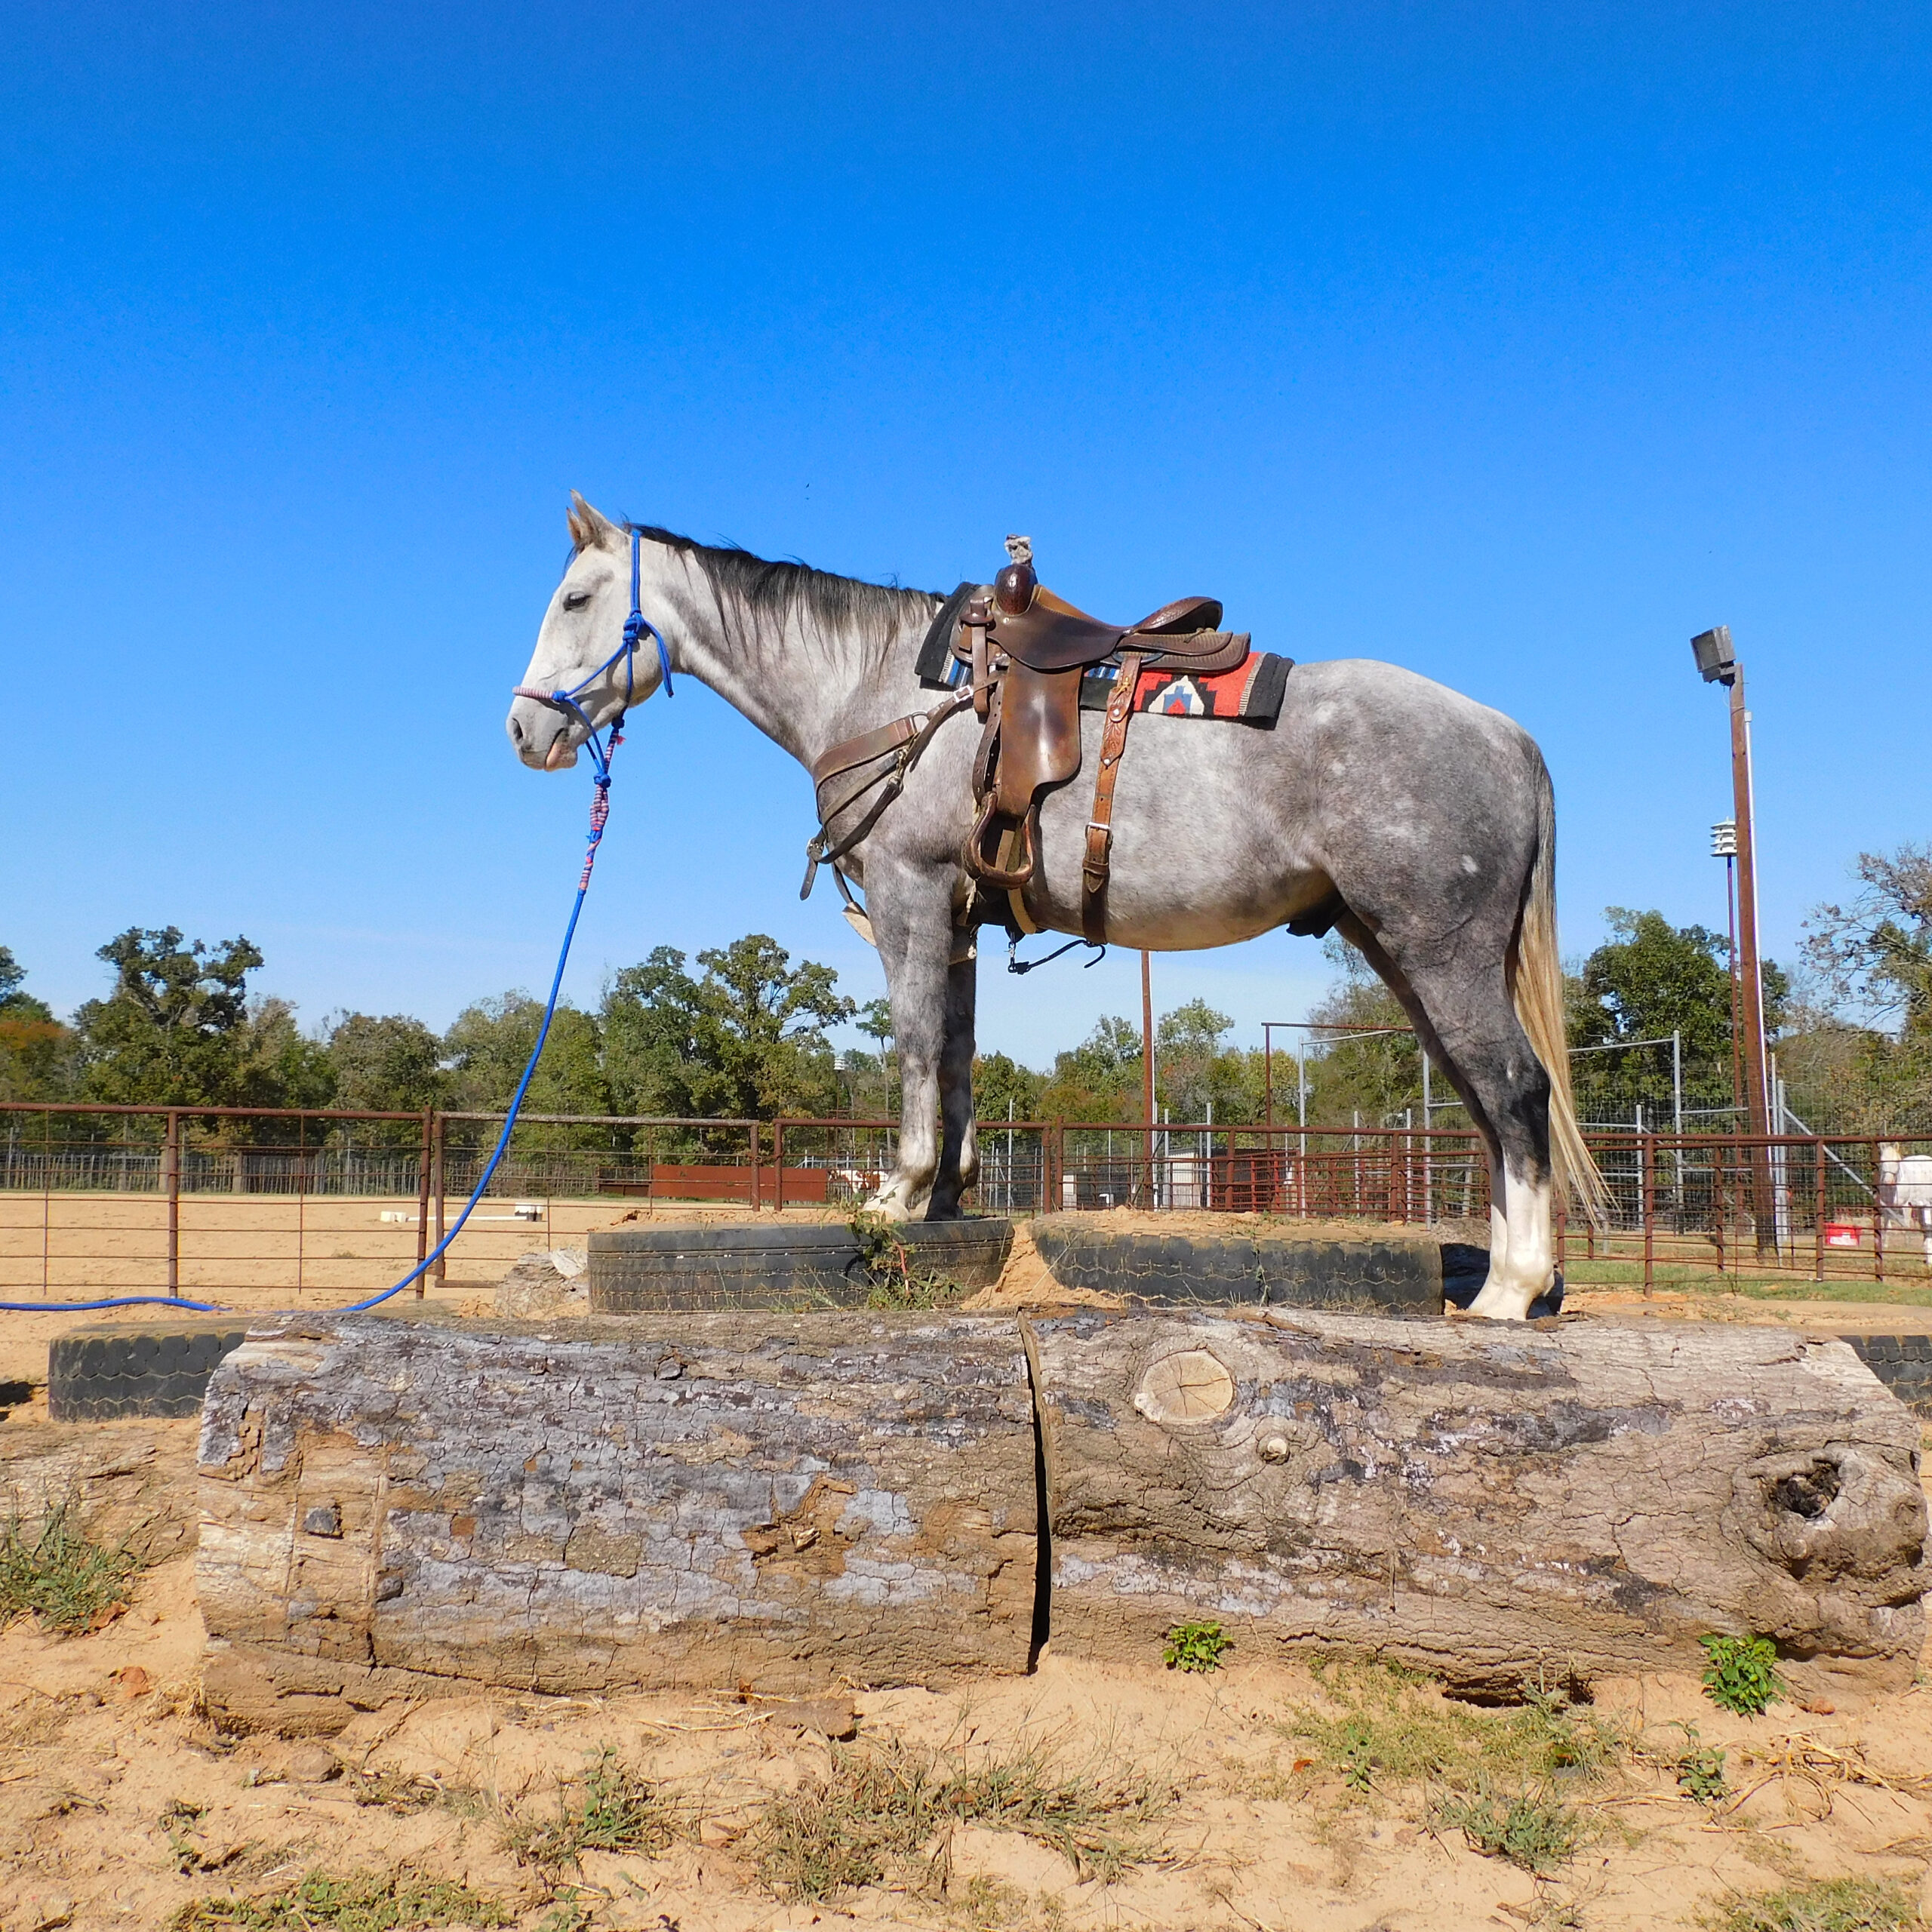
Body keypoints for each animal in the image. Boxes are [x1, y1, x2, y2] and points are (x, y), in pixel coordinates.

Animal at [508, 494, 1603, 1320]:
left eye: (576, 597)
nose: (523, 731)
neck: (883, 688)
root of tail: (1509, 735)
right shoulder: (956, 922)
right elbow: (955, 1057)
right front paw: (950, 1198)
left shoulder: (908, 901)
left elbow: (914, 1047)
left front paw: (899, 1197)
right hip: (1401, 951)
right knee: (1484, 1101)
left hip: (1439, 950)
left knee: (1513, 1090)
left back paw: (1510, 1290)